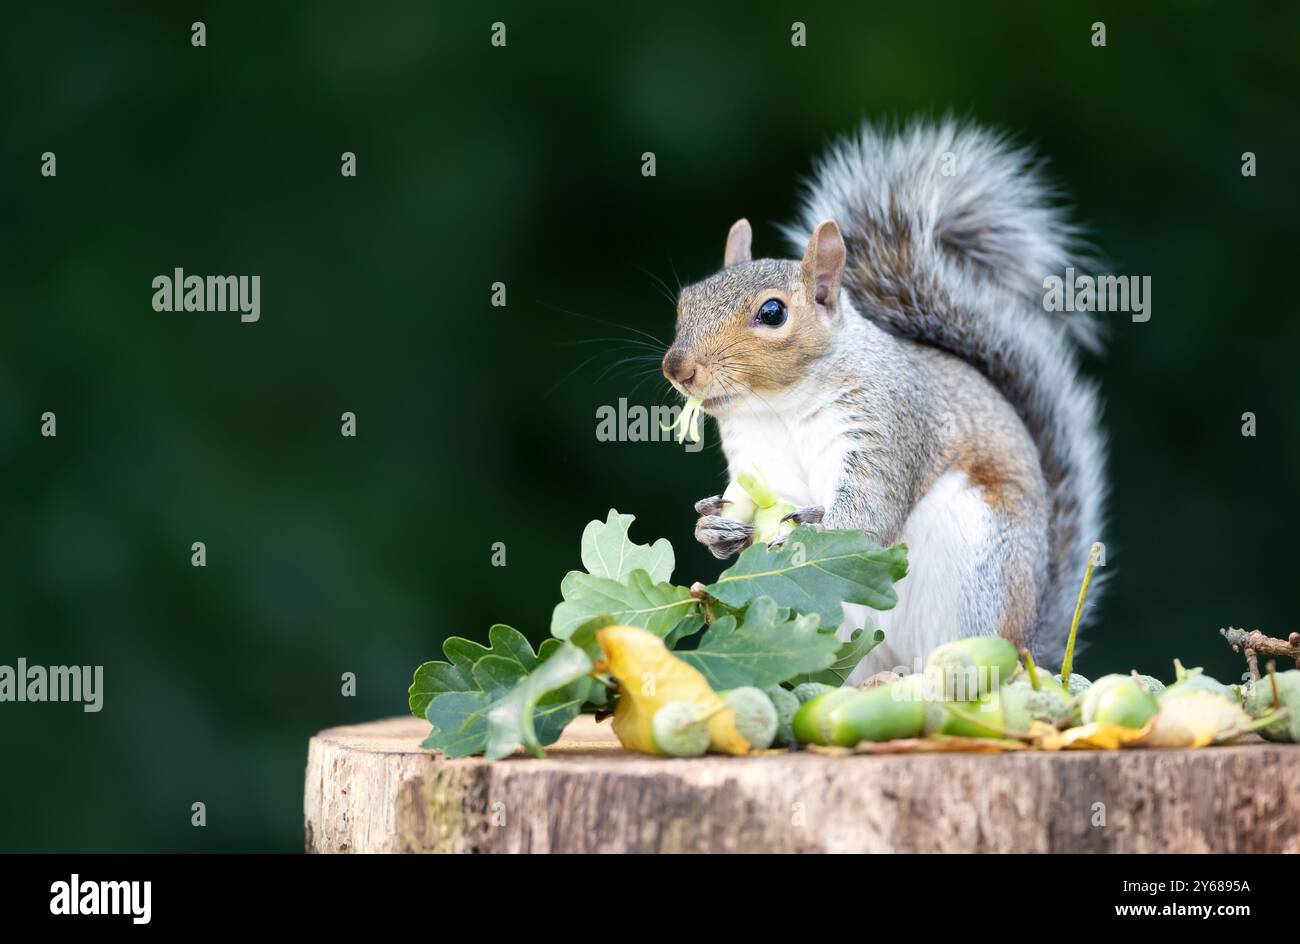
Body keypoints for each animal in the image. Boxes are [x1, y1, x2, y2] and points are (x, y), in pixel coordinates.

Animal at [662, 120, 1106, 684]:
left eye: (772, 312)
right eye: (686, 302)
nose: (678, 368)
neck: (778, 409)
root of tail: (1033, 645)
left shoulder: (888, 423)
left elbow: (869, 515)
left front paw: (805, 537)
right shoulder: (760, 460)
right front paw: (714, 527)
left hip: (979, 576)